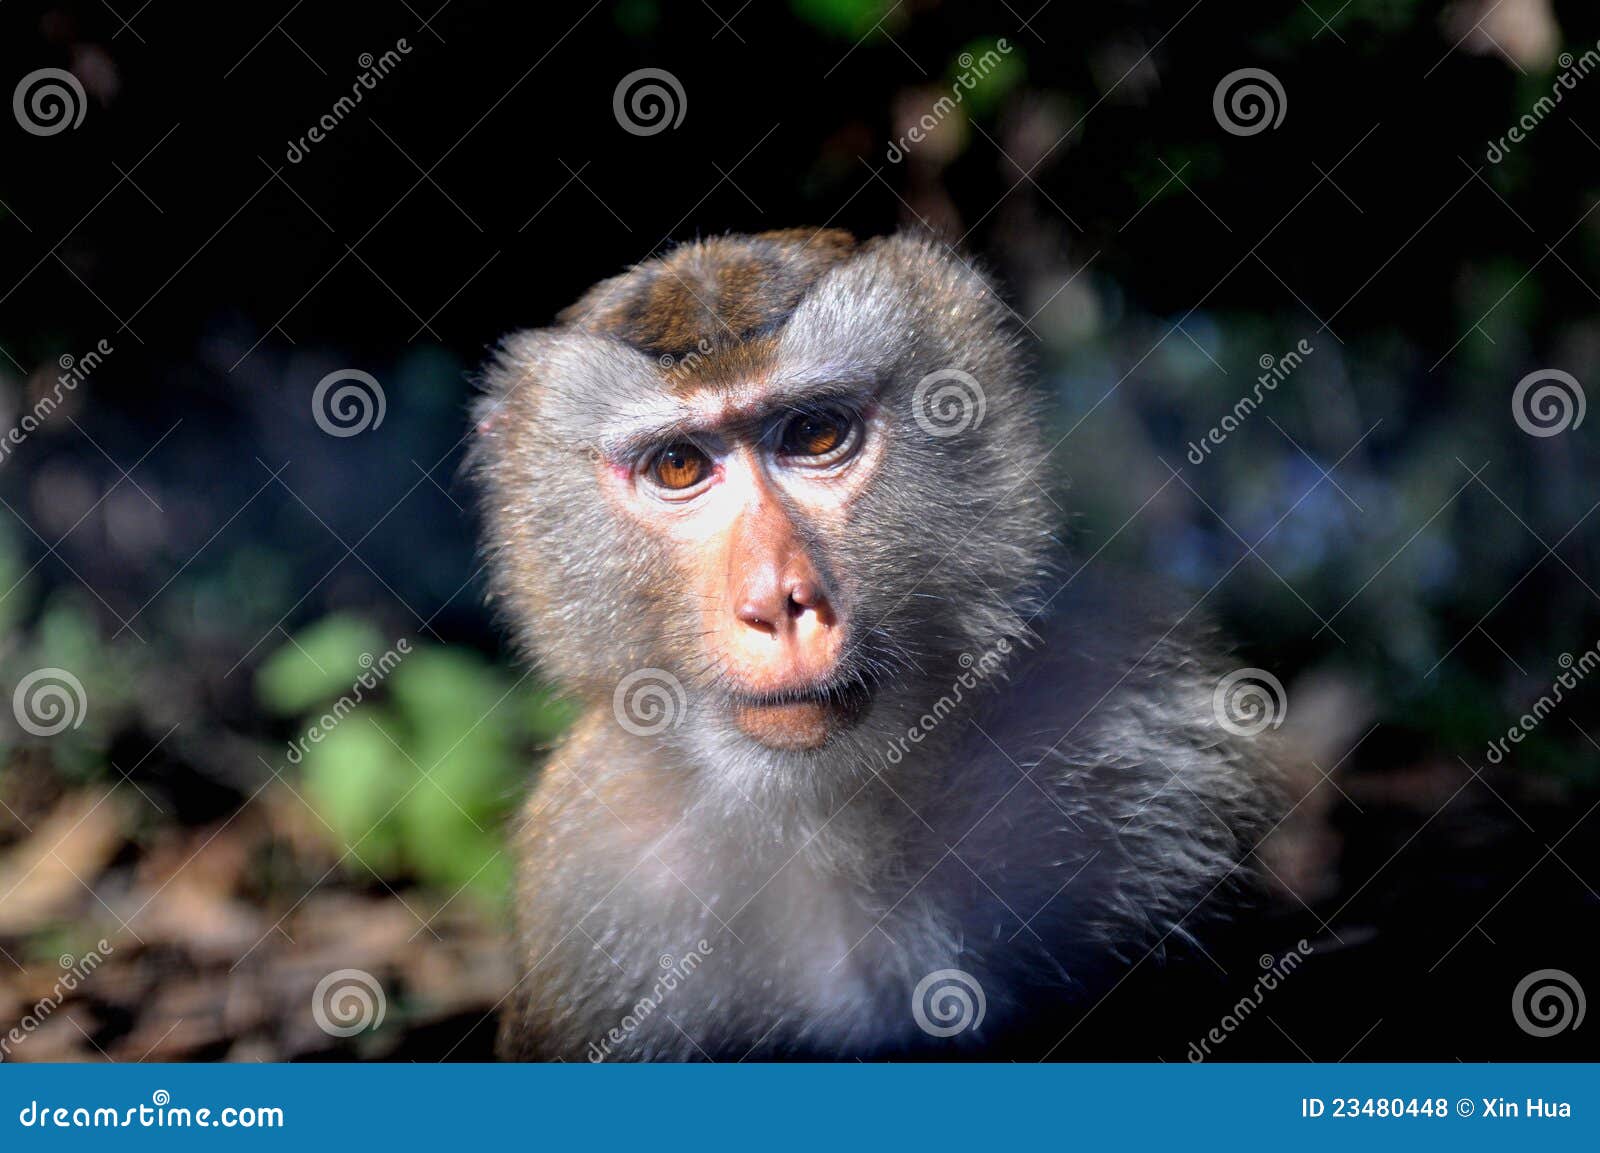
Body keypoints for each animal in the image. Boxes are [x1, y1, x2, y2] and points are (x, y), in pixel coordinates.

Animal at [472, 229, 1286, 1060]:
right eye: (679, 464)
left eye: (815, 433)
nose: (777, 602)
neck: (835, 818)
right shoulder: (591, 878)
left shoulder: (1150, 744)